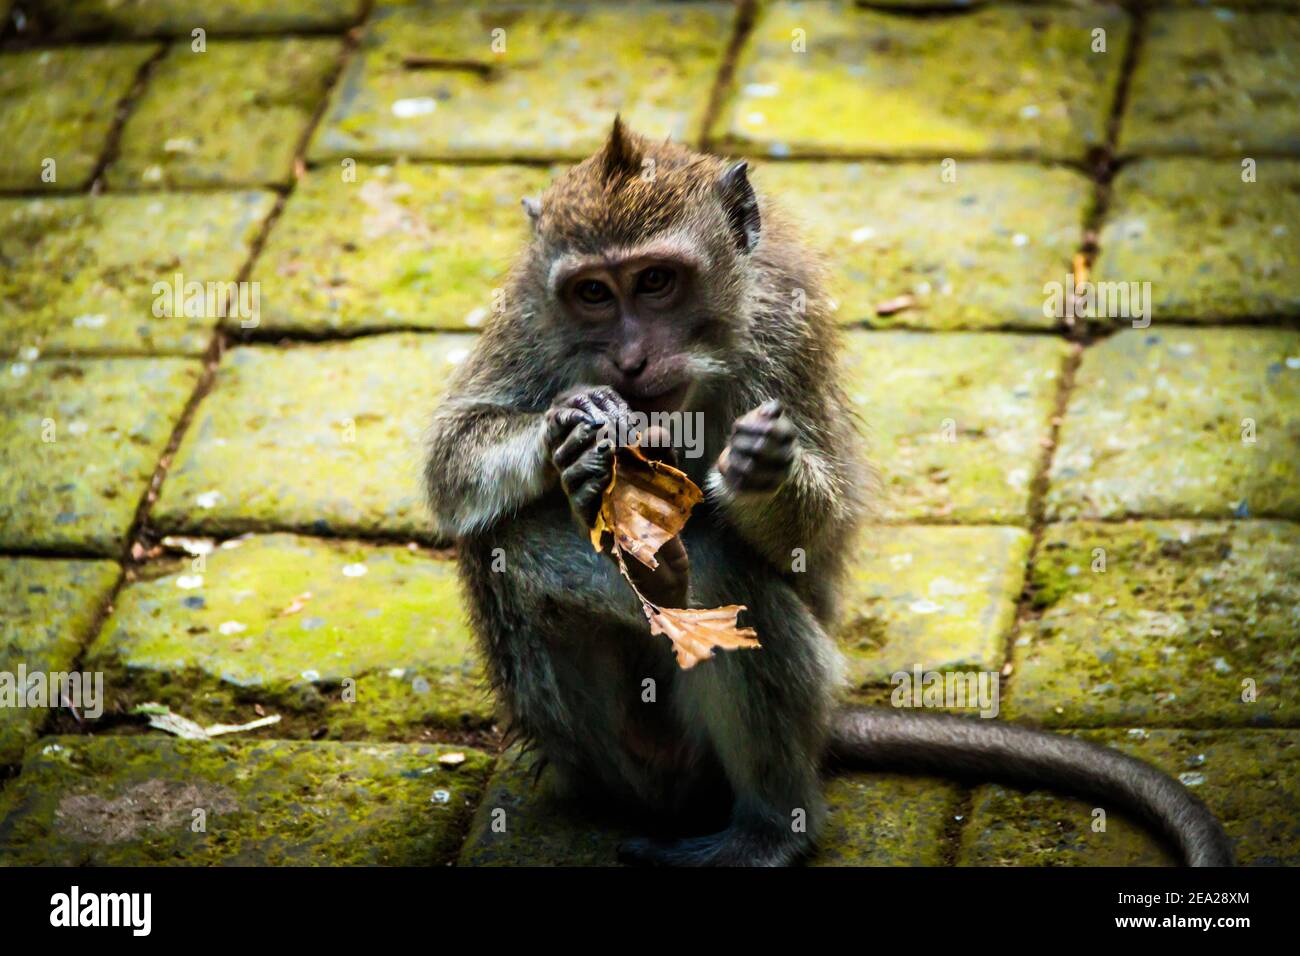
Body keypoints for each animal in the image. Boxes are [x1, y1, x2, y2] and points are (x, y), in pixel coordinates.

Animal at [424, 118, 1234, 867]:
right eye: (592, 292)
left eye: (655, 281)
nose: (629, 359)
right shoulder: (527, 323)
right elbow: (448, 462)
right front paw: (572, 435)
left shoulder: (788, 327)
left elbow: (824, 535)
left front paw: (762, 471)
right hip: (594, 757)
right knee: (505, 540)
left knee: (726, 576)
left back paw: (769, 825)